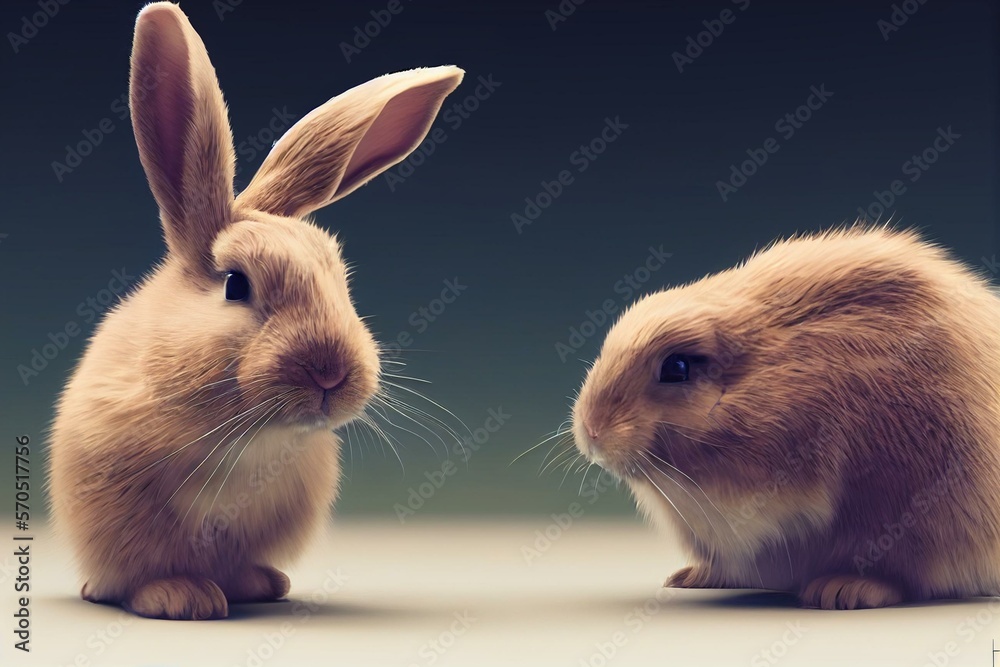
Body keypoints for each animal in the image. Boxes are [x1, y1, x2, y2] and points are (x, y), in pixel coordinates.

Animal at [48, 2, 463, 620]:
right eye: (235, 285)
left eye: (339, 279)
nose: (330, 373)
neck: (251, 436)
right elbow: (143, 571)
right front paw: (182, 599)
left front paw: (244, 586)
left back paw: (257, 584)